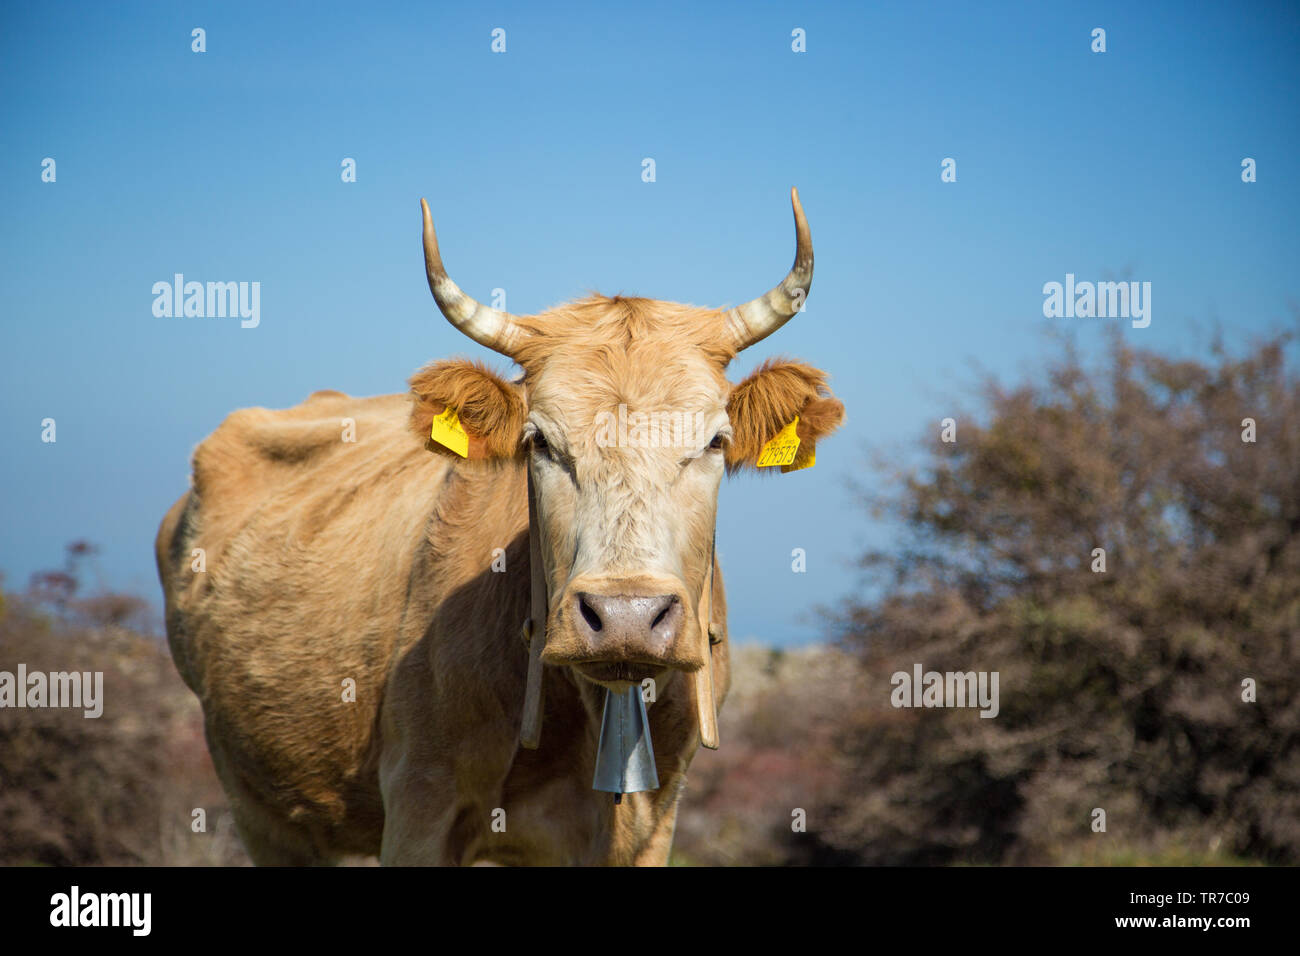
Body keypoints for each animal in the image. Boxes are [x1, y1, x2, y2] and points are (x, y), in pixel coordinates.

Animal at [155, 188, 845, 865]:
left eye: (714, 441)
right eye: (539, 441)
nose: (625, 617)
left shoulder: (653, 821)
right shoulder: (419, 803)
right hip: (259, 808)